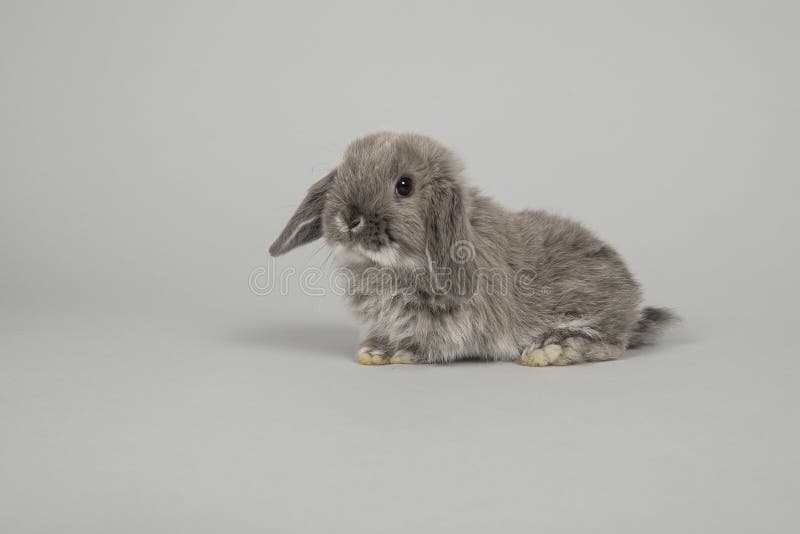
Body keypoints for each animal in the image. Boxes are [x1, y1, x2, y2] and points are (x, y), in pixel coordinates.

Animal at [270, 132, 676, 365]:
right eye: (343, 173)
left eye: (404, 185)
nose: (349, 218)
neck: (389, 267)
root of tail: (632, 300)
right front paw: (374, 350)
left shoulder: (454, 323)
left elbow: (433, 345)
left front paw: (399, 353)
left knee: (611, 344)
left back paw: (549, 351)